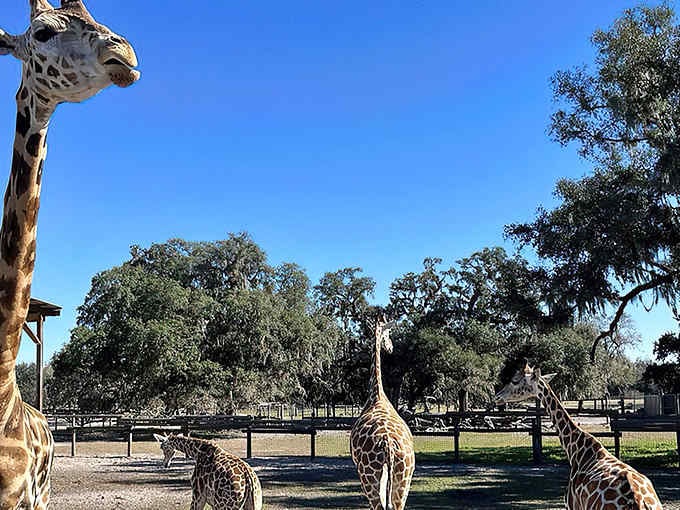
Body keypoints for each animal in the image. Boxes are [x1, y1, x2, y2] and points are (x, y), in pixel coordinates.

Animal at [350, 317, 415, 510]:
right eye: (388, 334)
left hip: (369, 477)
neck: (376, 395)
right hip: (403, 478)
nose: (391, 347)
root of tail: (389, 446)